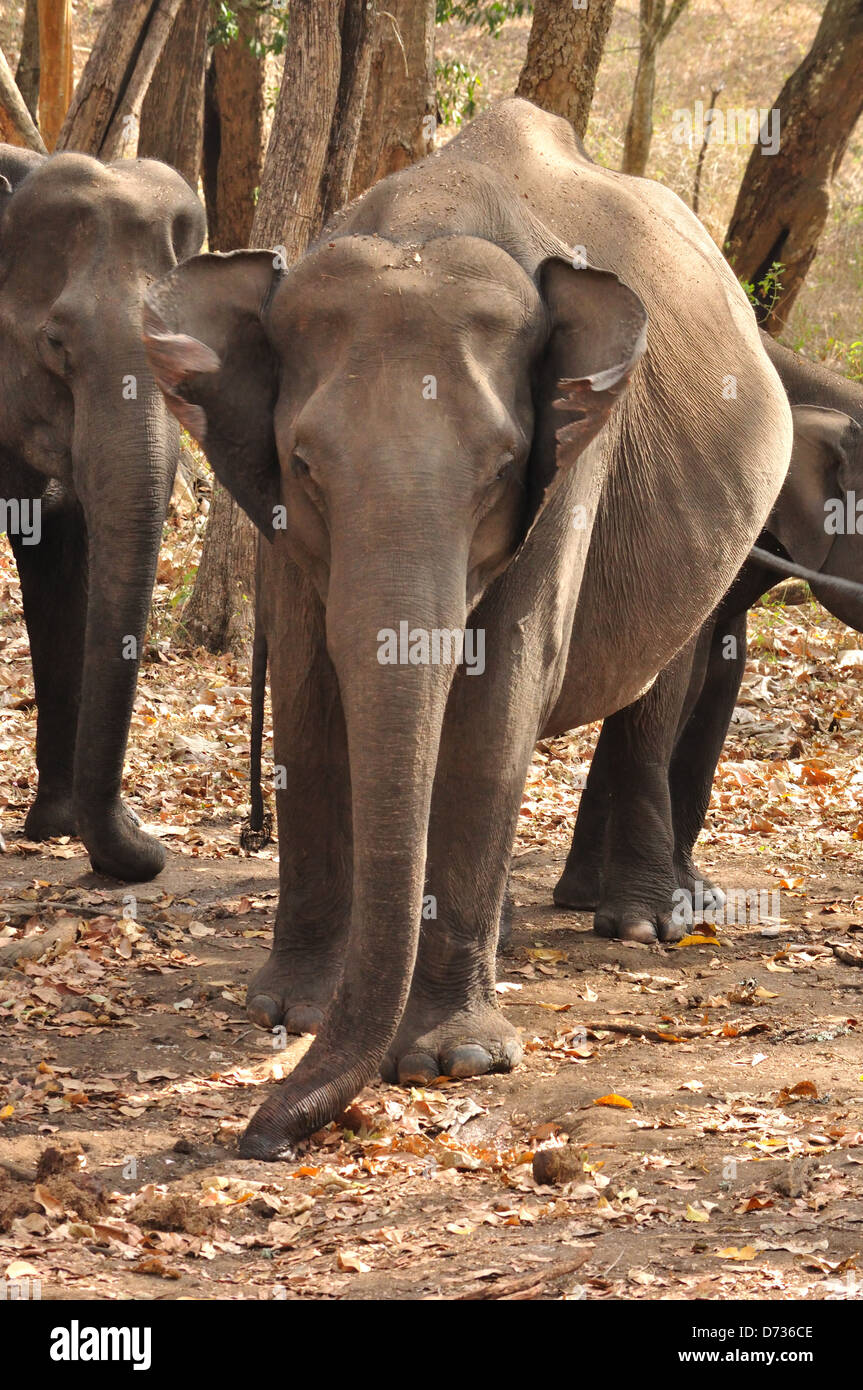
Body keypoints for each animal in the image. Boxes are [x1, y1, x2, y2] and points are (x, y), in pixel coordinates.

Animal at [142, 98, 794, 1157]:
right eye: (305, 464)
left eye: (497, 469)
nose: (260, 1138)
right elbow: (309, 697)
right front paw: (291, 1011)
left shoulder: (571, 463)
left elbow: (499, 700)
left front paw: (455, 1060)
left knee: (659, 684)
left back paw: (640, 926)